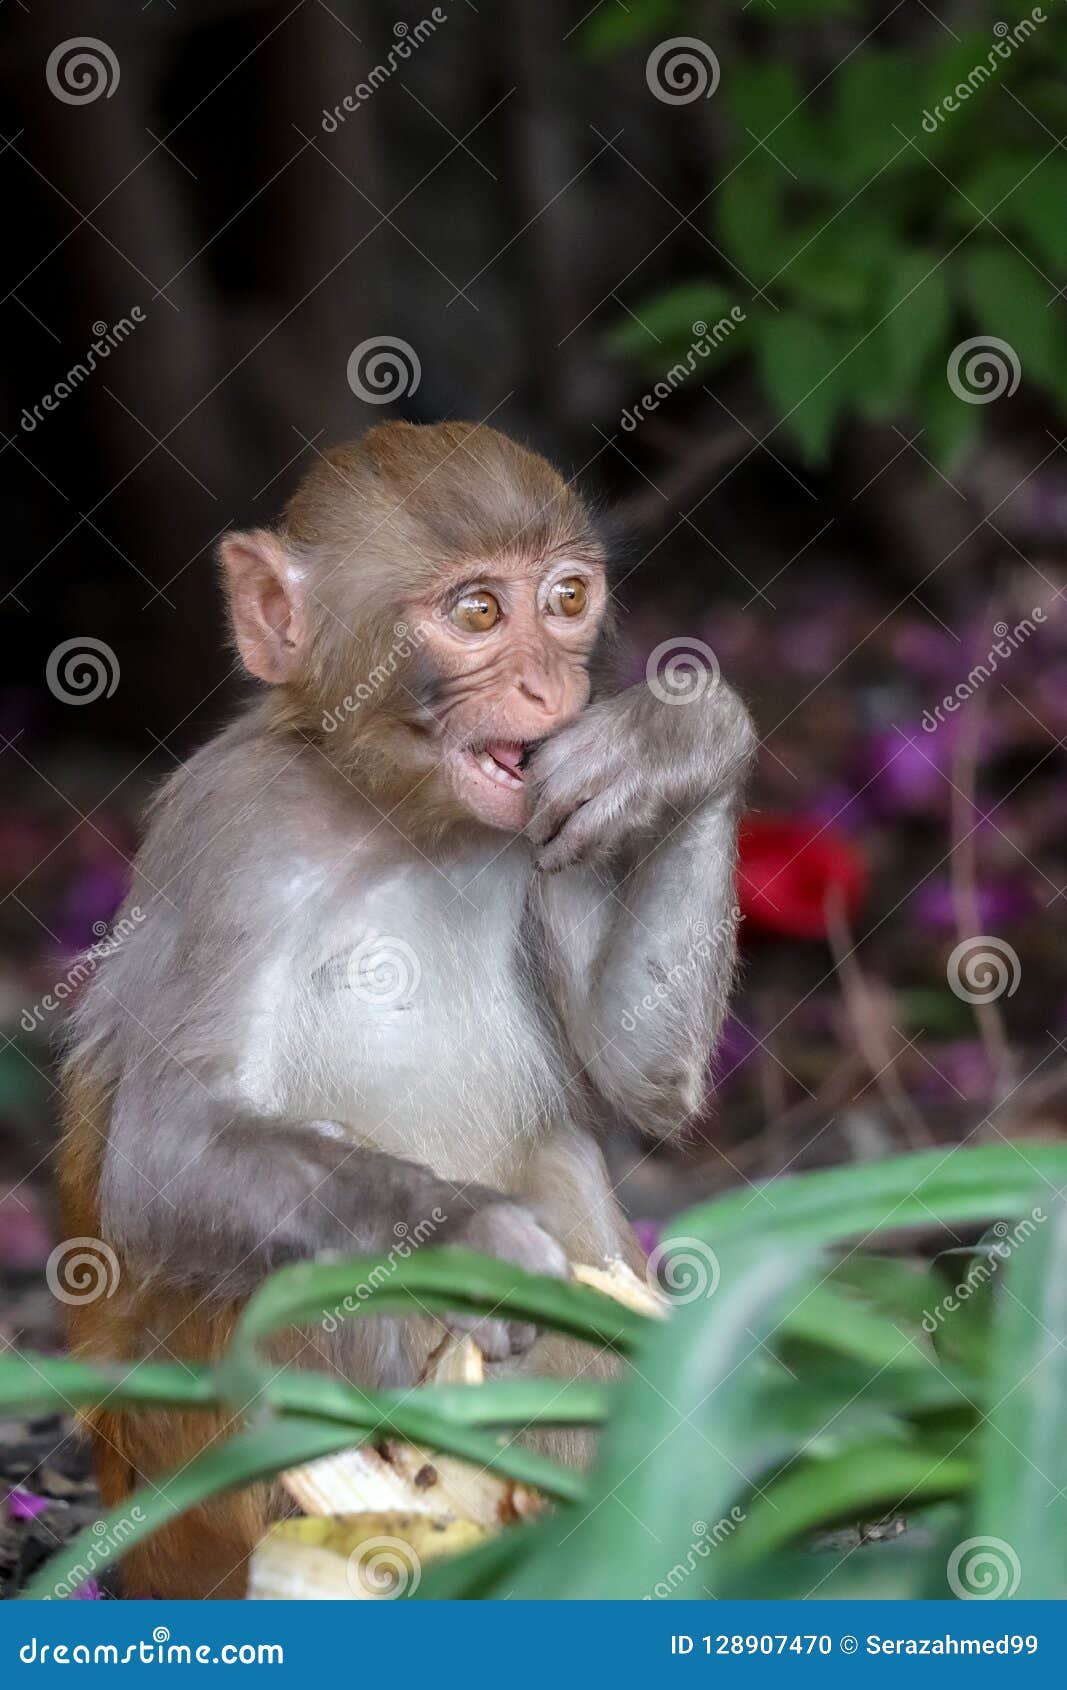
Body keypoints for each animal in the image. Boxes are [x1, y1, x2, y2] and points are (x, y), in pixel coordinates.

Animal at [58, 420, 756, 1599]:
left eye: (566, 597)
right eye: (476, 613)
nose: (549, 687)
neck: (391, 815)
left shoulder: (550, 811)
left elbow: (634, 1069)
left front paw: (679, 741)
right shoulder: (233, 834)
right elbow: (163, 1158)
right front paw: (475, 1243)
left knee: (557, 1154)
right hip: (192, 1518)